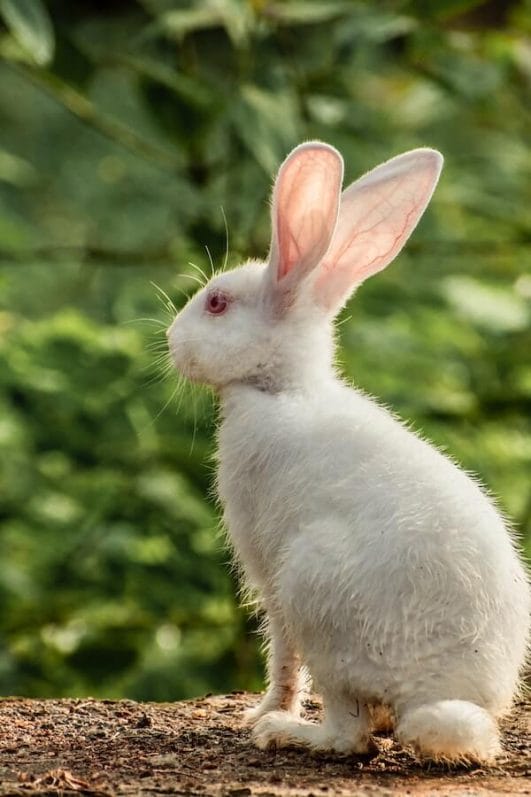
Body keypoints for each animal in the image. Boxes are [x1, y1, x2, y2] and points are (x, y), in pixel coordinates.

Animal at [166, 142, 530, 763]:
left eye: (216, 304)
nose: (170, 341)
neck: (281, 388)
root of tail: (439, 695)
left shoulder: (268, 573)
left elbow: (282, 657)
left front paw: (261, 713)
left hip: (314, 591)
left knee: (348, 733)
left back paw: (286, 733)